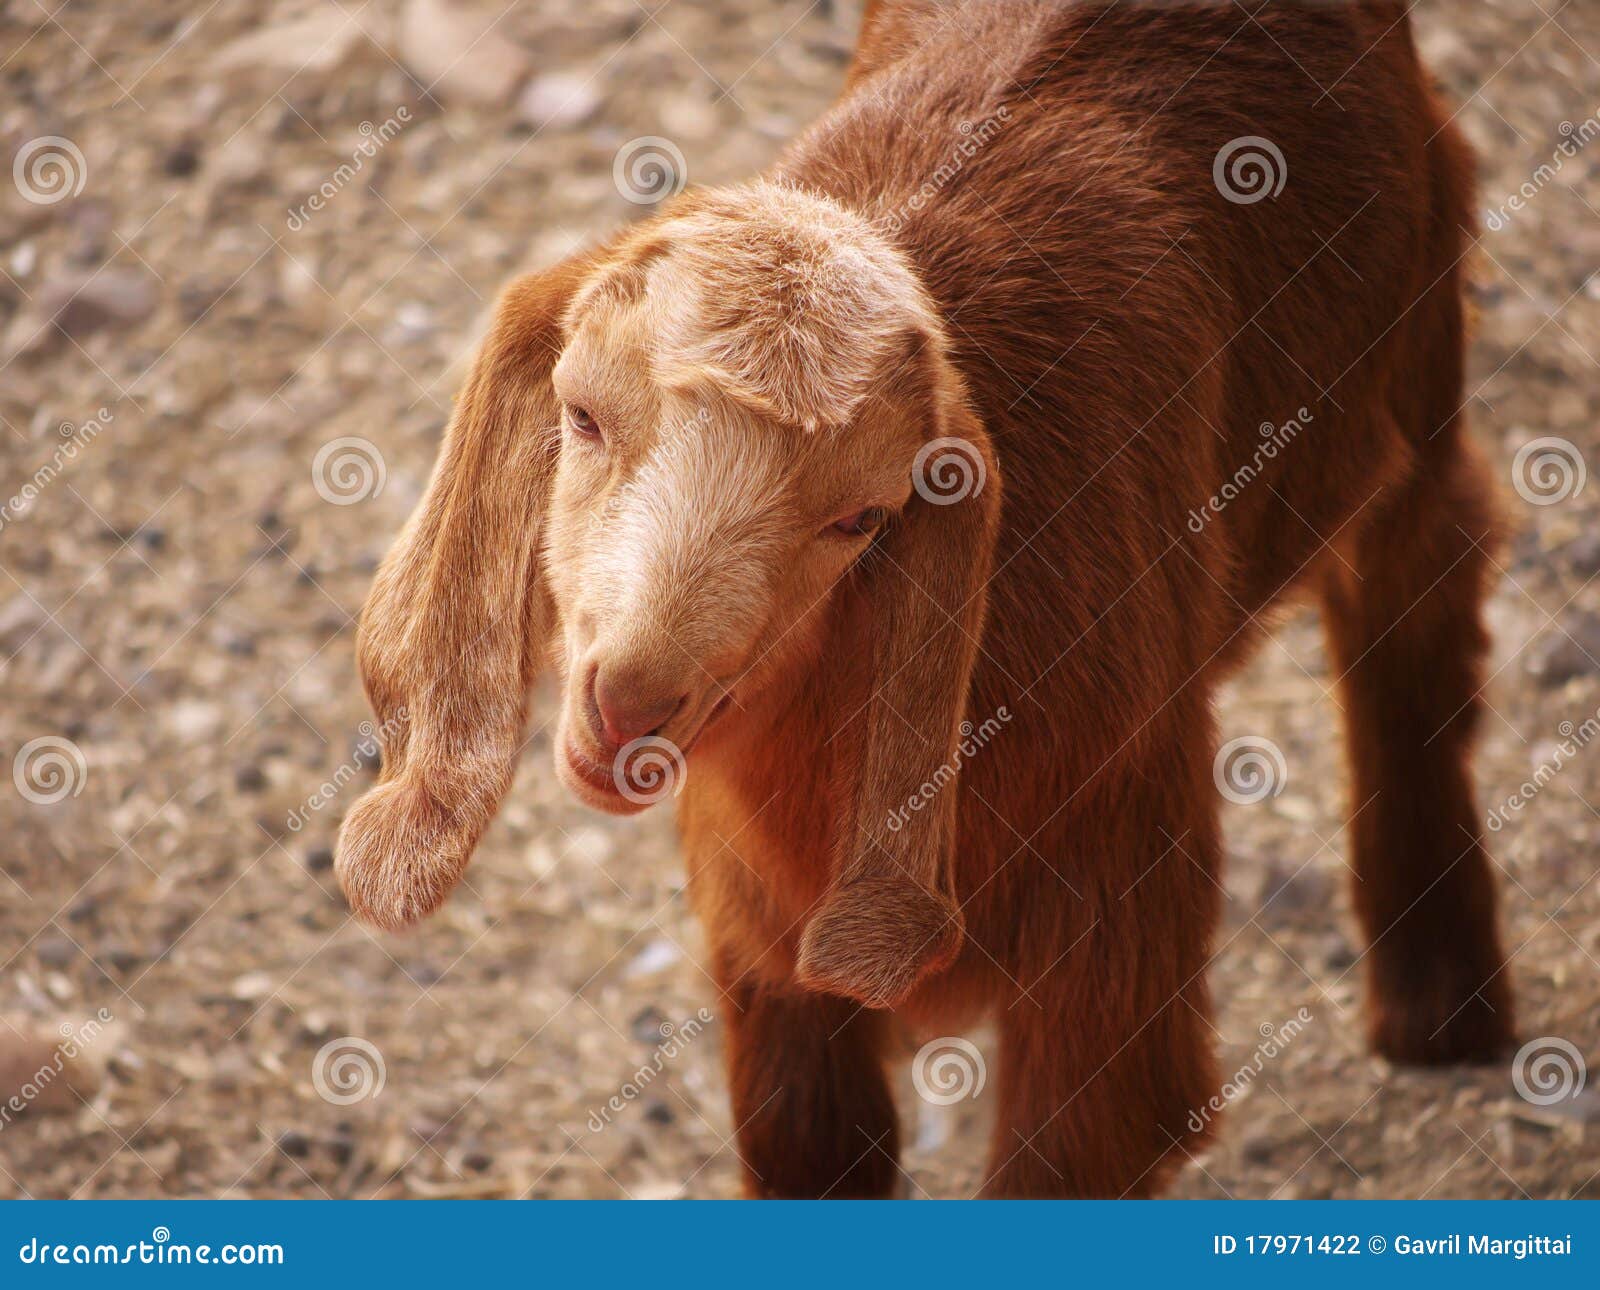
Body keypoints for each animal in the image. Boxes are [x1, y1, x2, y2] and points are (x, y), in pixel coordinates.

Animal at [335, 0, 1514, 1197]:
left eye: (863, 517)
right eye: (579, 414)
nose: (630, 705)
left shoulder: (1119, 925)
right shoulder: (768, 964)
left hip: (1412, 351)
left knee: (1422, 580)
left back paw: (1442, 1003)